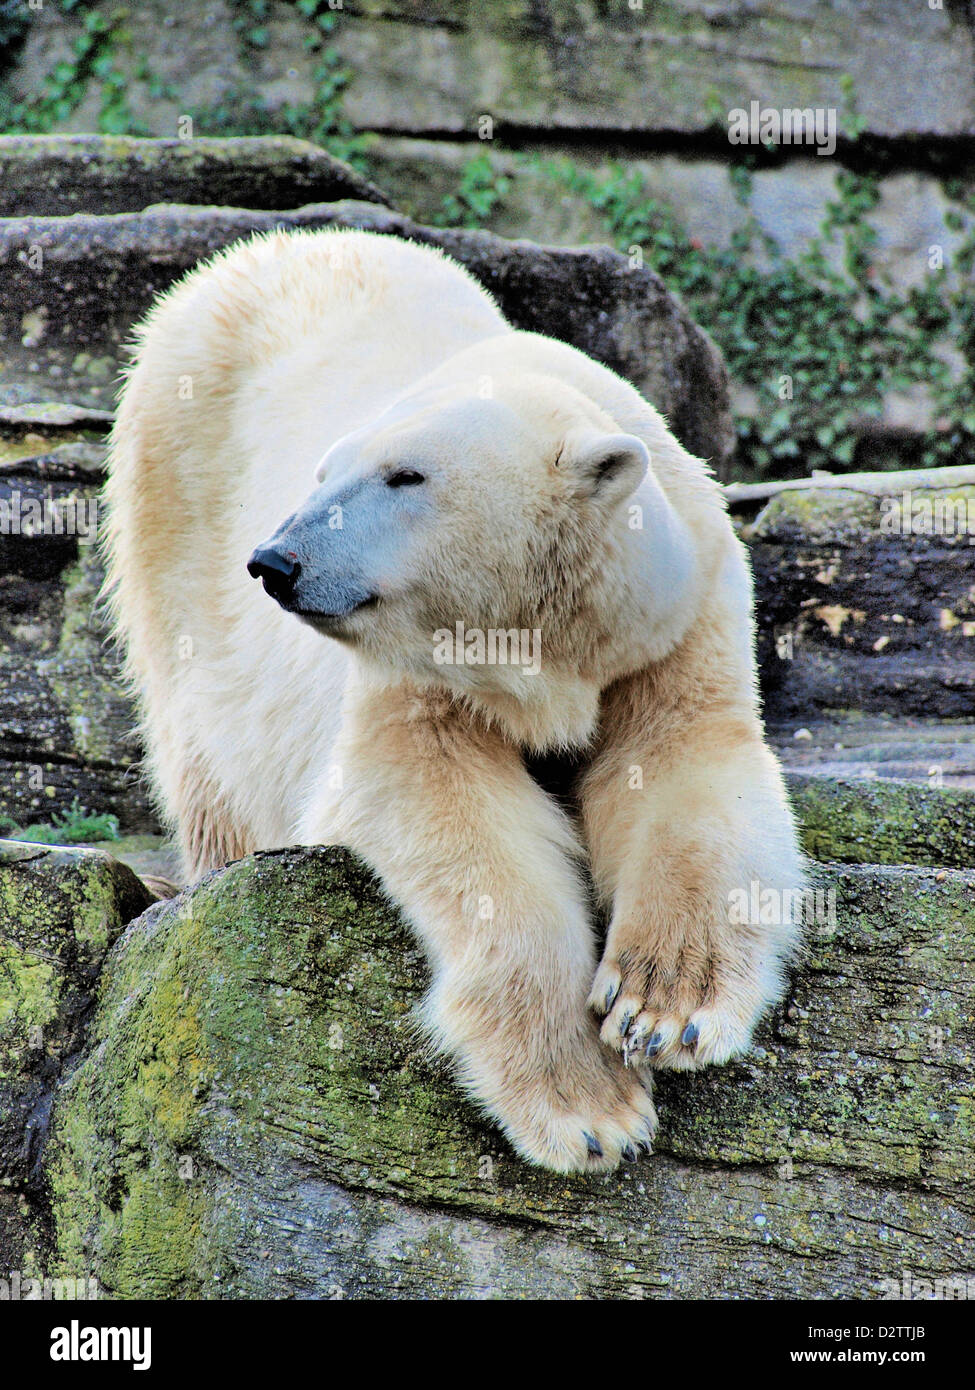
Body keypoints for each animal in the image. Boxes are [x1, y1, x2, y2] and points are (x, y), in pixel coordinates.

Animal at [104, 227, 806, 1173]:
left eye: (405, 476)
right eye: (323, 472)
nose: (277, 560)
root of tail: (264, 248)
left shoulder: (673, 622)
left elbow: (684, 767)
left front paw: (662, 1010)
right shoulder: (414, 677)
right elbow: (444, 802)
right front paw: (586, 1107)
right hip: (175, 506)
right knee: (205, 738)